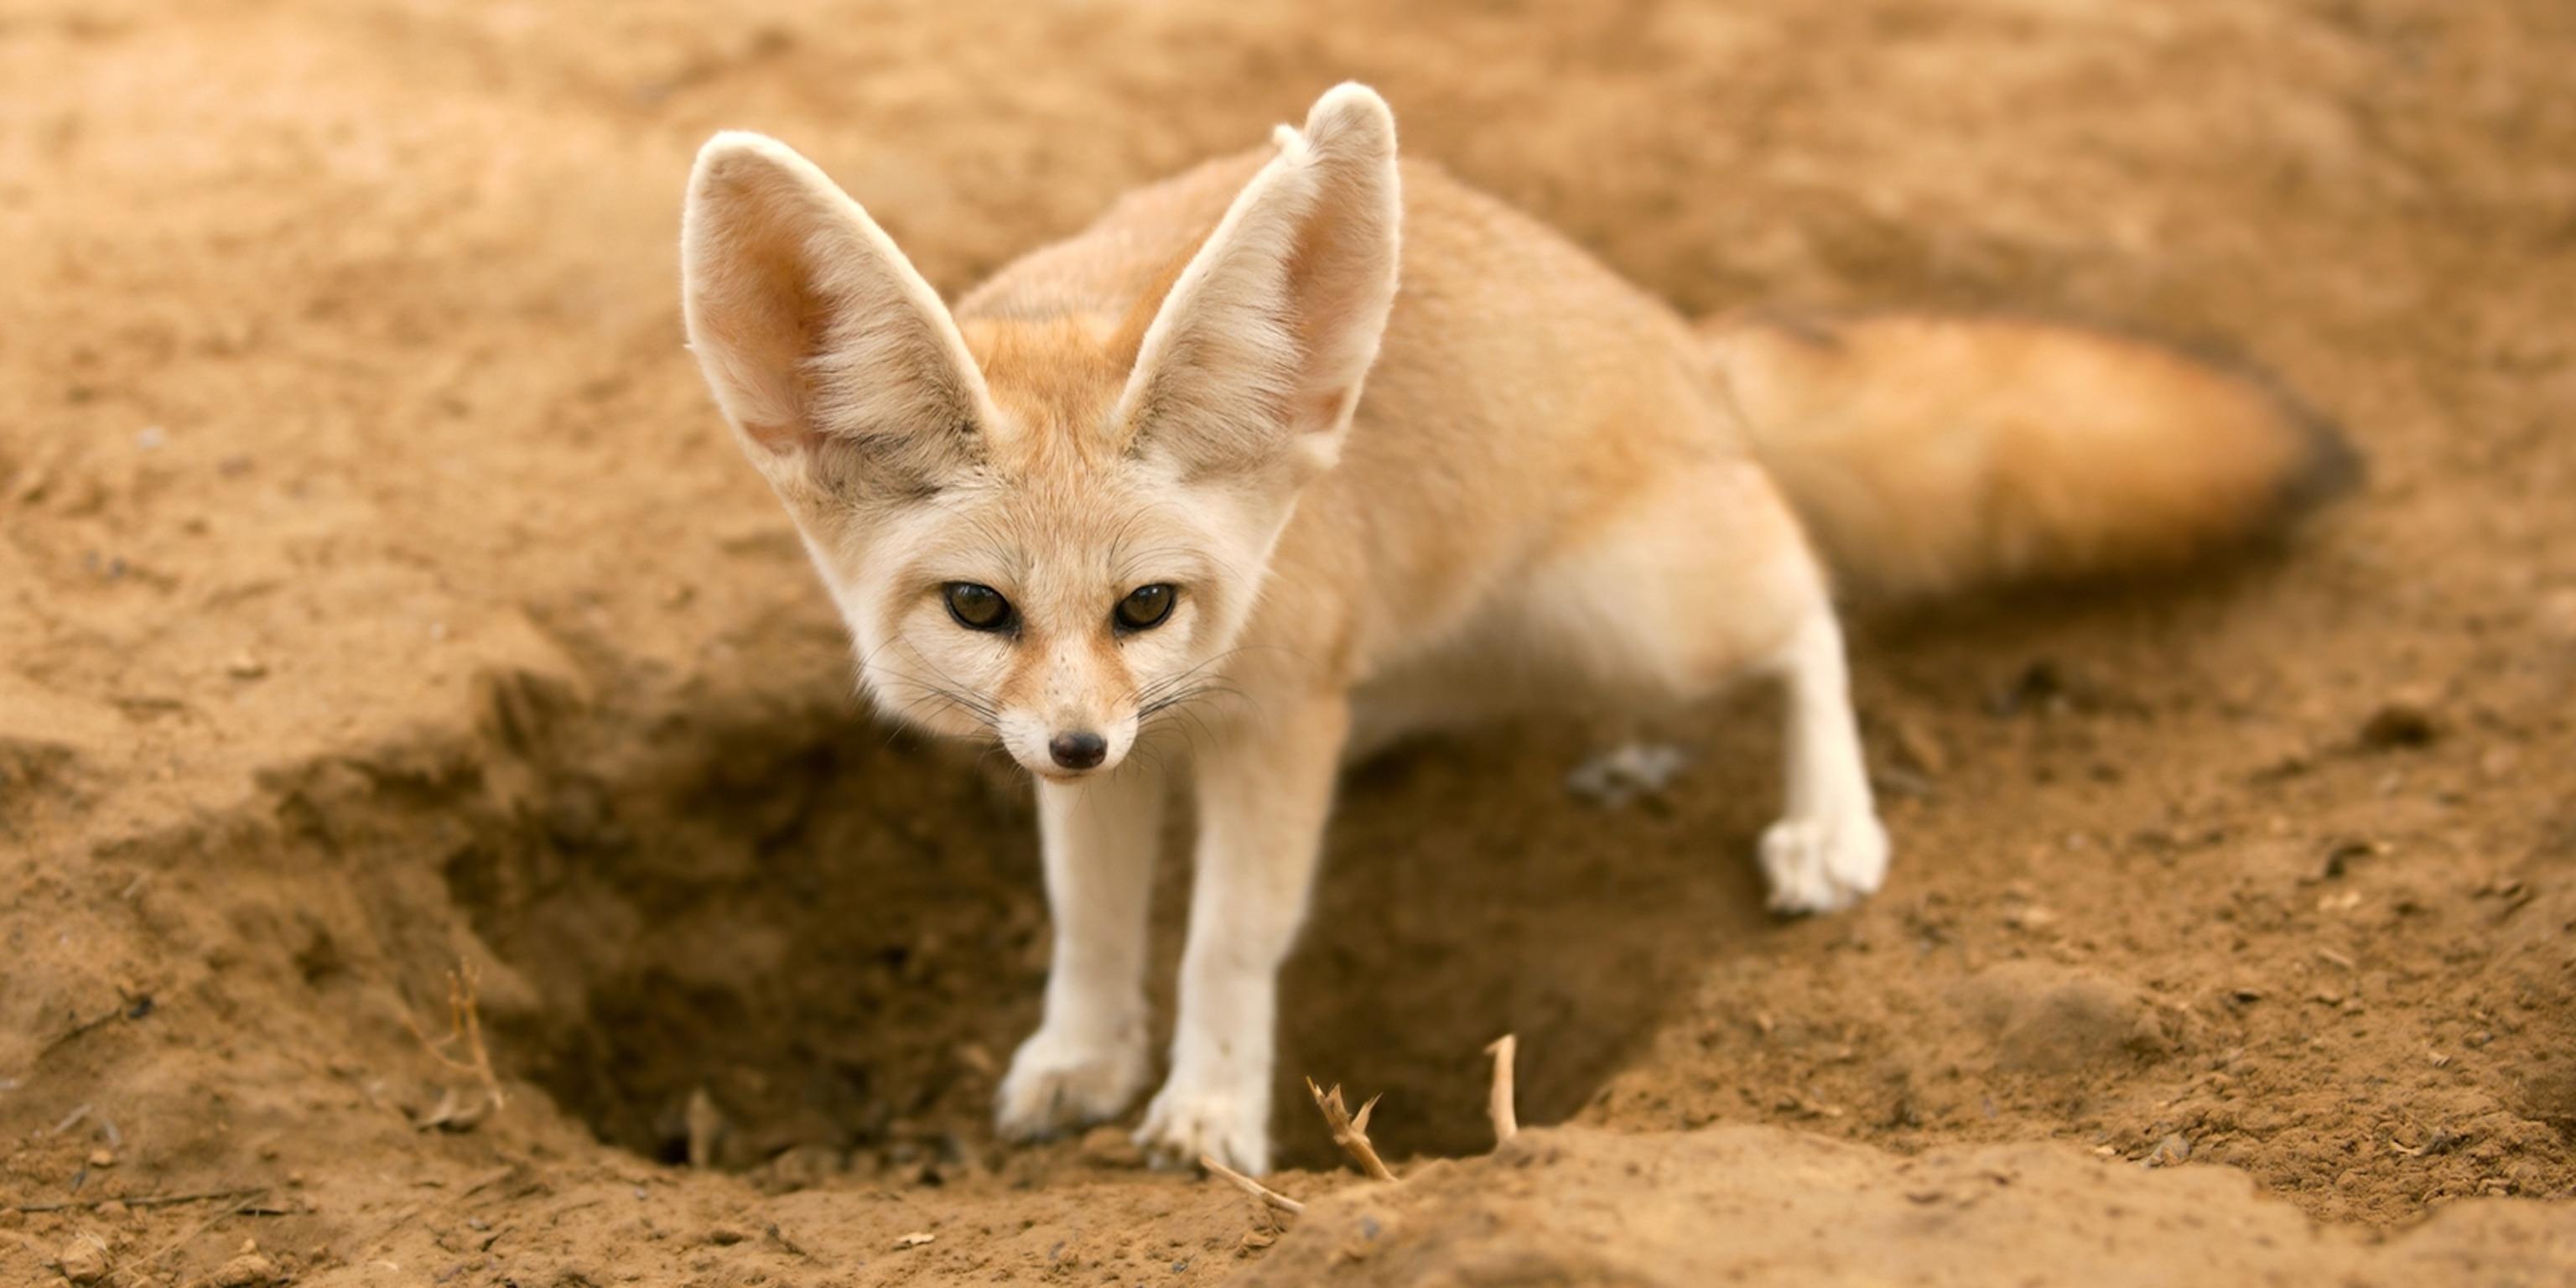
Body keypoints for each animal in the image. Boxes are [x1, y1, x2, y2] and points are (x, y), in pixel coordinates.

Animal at [678, 84, 2350, 1174]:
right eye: (980, 608)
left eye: (1148, 604)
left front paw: (1210, 1110)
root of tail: (1685, 345)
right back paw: (1631, 753)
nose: (1081, 741)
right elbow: (1090, 921)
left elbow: (1229, 937)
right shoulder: (1128, 753)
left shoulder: (1274, 724)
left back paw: (1828, 822)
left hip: (1640, 605)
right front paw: (1083, 1057)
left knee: (1806, 599)